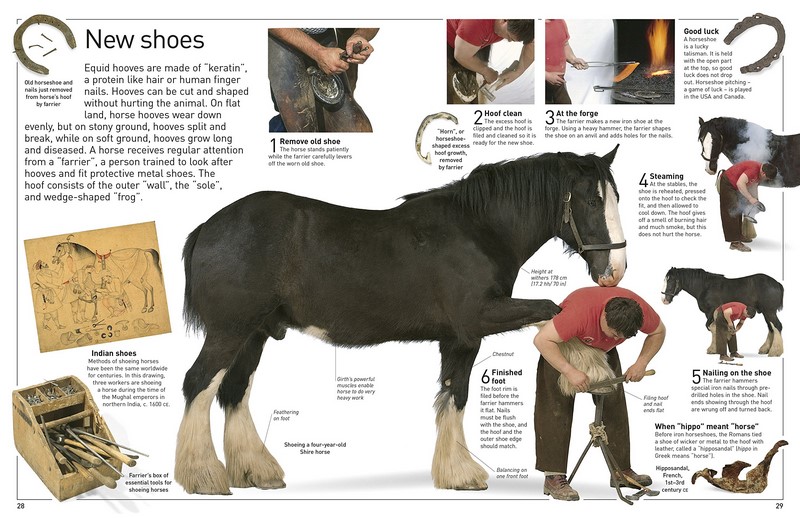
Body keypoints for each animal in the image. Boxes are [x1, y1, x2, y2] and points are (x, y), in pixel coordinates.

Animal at [176, 147, 628, 495]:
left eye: (617, 198)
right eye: (592, 201)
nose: (615, 271)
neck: (478, 231)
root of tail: (208, 226)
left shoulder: (461, 340)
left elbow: (455, 395)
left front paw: (457, 475)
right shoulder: (477, 319)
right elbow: (551, 308)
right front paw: (591, 369)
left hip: (254, 334)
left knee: (233, 390)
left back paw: (256, 472)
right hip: (229, 330)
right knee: (199, 383)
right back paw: (204, 477)